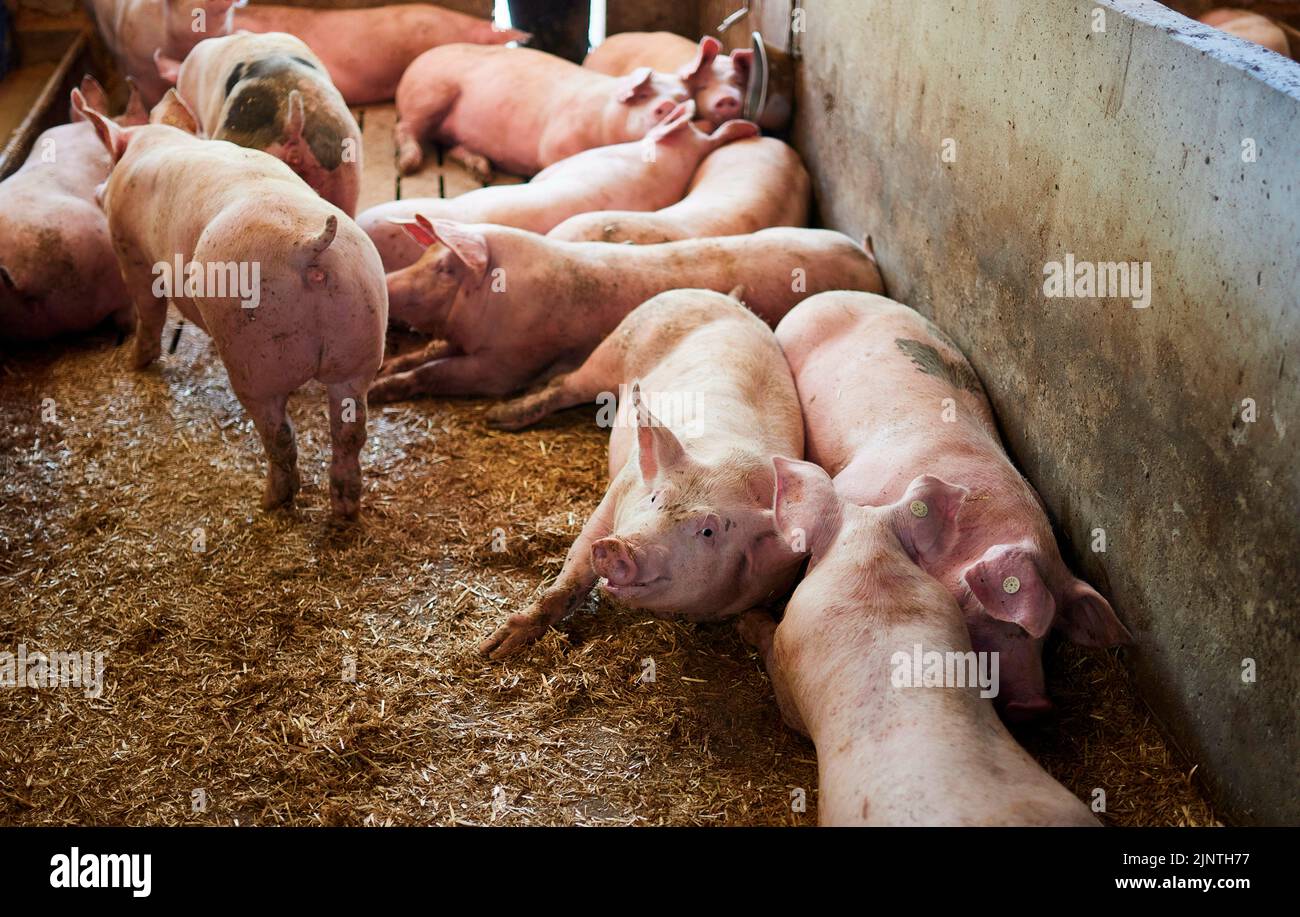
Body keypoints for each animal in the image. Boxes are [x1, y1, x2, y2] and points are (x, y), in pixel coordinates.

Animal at [73, 88, 387, 518]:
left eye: (107, 163)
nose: (96, 190)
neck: (152, 141)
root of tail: (306, 245)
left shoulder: (129, 249)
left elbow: (148, 311)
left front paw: (134, 364)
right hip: (359, 341)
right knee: (350, 432)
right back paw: (343, 512)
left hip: (253, 359)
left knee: (280, 434)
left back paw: (270, 501)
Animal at [369, 222, 883, 402]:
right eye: (425, 255)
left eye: (445, 267)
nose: (386, 283)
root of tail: (867, 258)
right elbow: (424, 356)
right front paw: (383, 374)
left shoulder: (505, 365)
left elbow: (435, 373)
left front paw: (380, 391)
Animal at [393, 43, 691, 180]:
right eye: (644, 96)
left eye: (681, 97)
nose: (669, 106)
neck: (604, 120)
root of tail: (414, 64)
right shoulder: (557, 141)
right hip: (429, 95)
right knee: (404, 128)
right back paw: (408, 165)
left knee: (454, 147)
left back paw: (482, 170)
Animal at [476, 288, 807, 658]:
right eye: (654, 497)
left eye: (708, 531)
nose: (620, 547)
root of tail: (724, 296)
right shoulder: (617, 491)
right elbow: (573, 574)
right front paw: (493, 649)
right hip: (613, 349)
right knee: (565, 383)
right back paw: (499, 417)